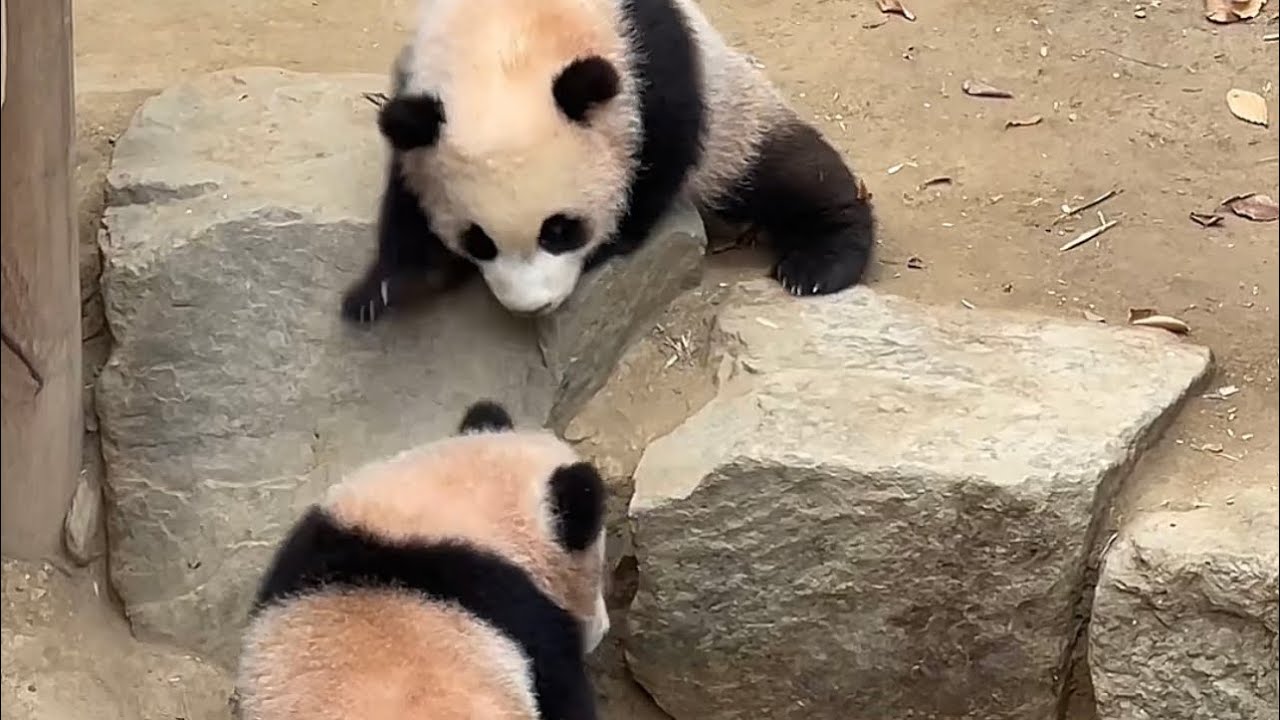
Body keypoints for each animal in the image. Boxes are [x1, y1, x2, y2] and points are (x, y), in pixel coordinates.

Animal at [340, 0, 876, 322]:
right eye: (478, 241)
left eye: (560, 230)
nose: (533, 306)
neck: (506, 43)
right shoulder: (417, 94)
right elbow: (407, 191)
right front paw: (382, 291)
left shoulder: (653, 60)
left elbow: (660, 155)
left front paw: (613, 241)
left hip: (733, 118)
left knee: (784, 172)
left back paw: (817, 264)